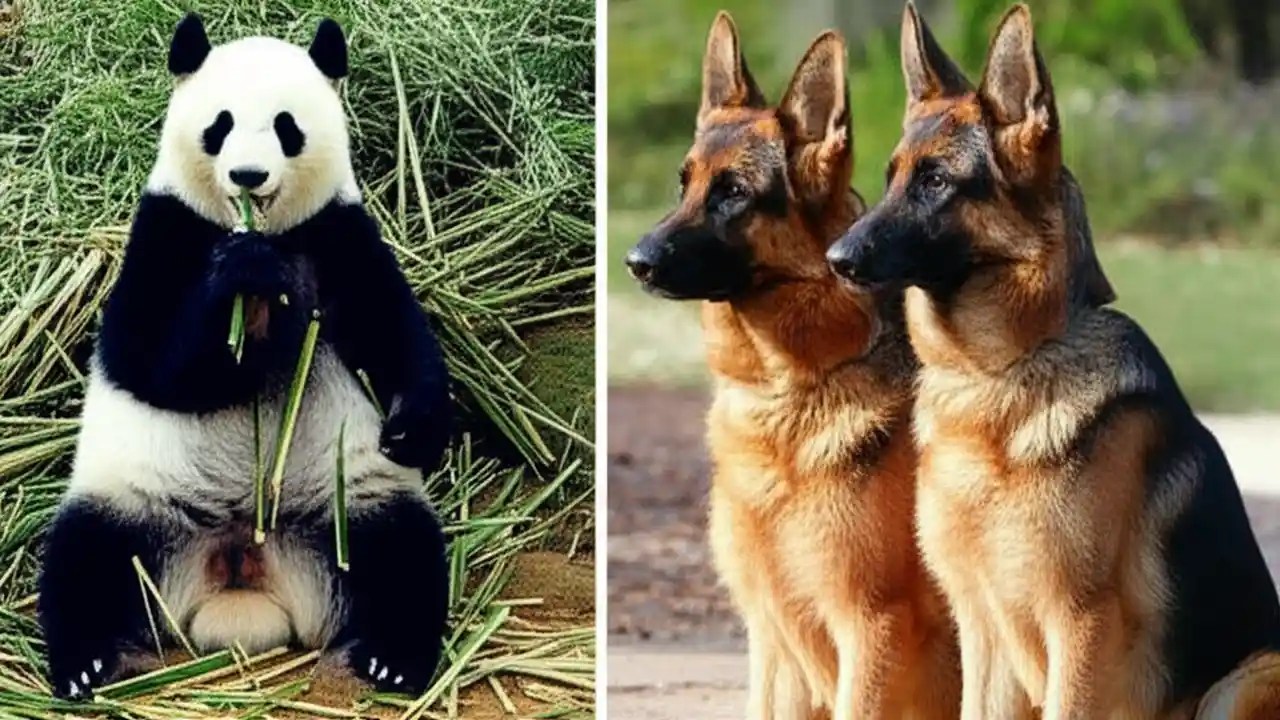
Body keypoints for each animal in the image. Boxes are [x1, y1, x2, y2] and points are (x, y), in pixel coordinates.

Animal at [37, 14, 452, 699]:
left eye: (286, 127)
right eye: (220, 125)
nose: (249, 177)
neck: (258, 228)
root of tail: (240, 567)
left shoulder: (337, 233)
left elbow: (392, 329)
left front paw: (416, 426)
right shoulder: (167, 229)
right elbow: (150, 360)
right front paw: (241, 285)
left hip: (350, 505)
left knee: (403, 560)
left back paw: (391, 659)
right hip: (134, 502)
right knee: (84, 559)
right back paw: (88, 664)